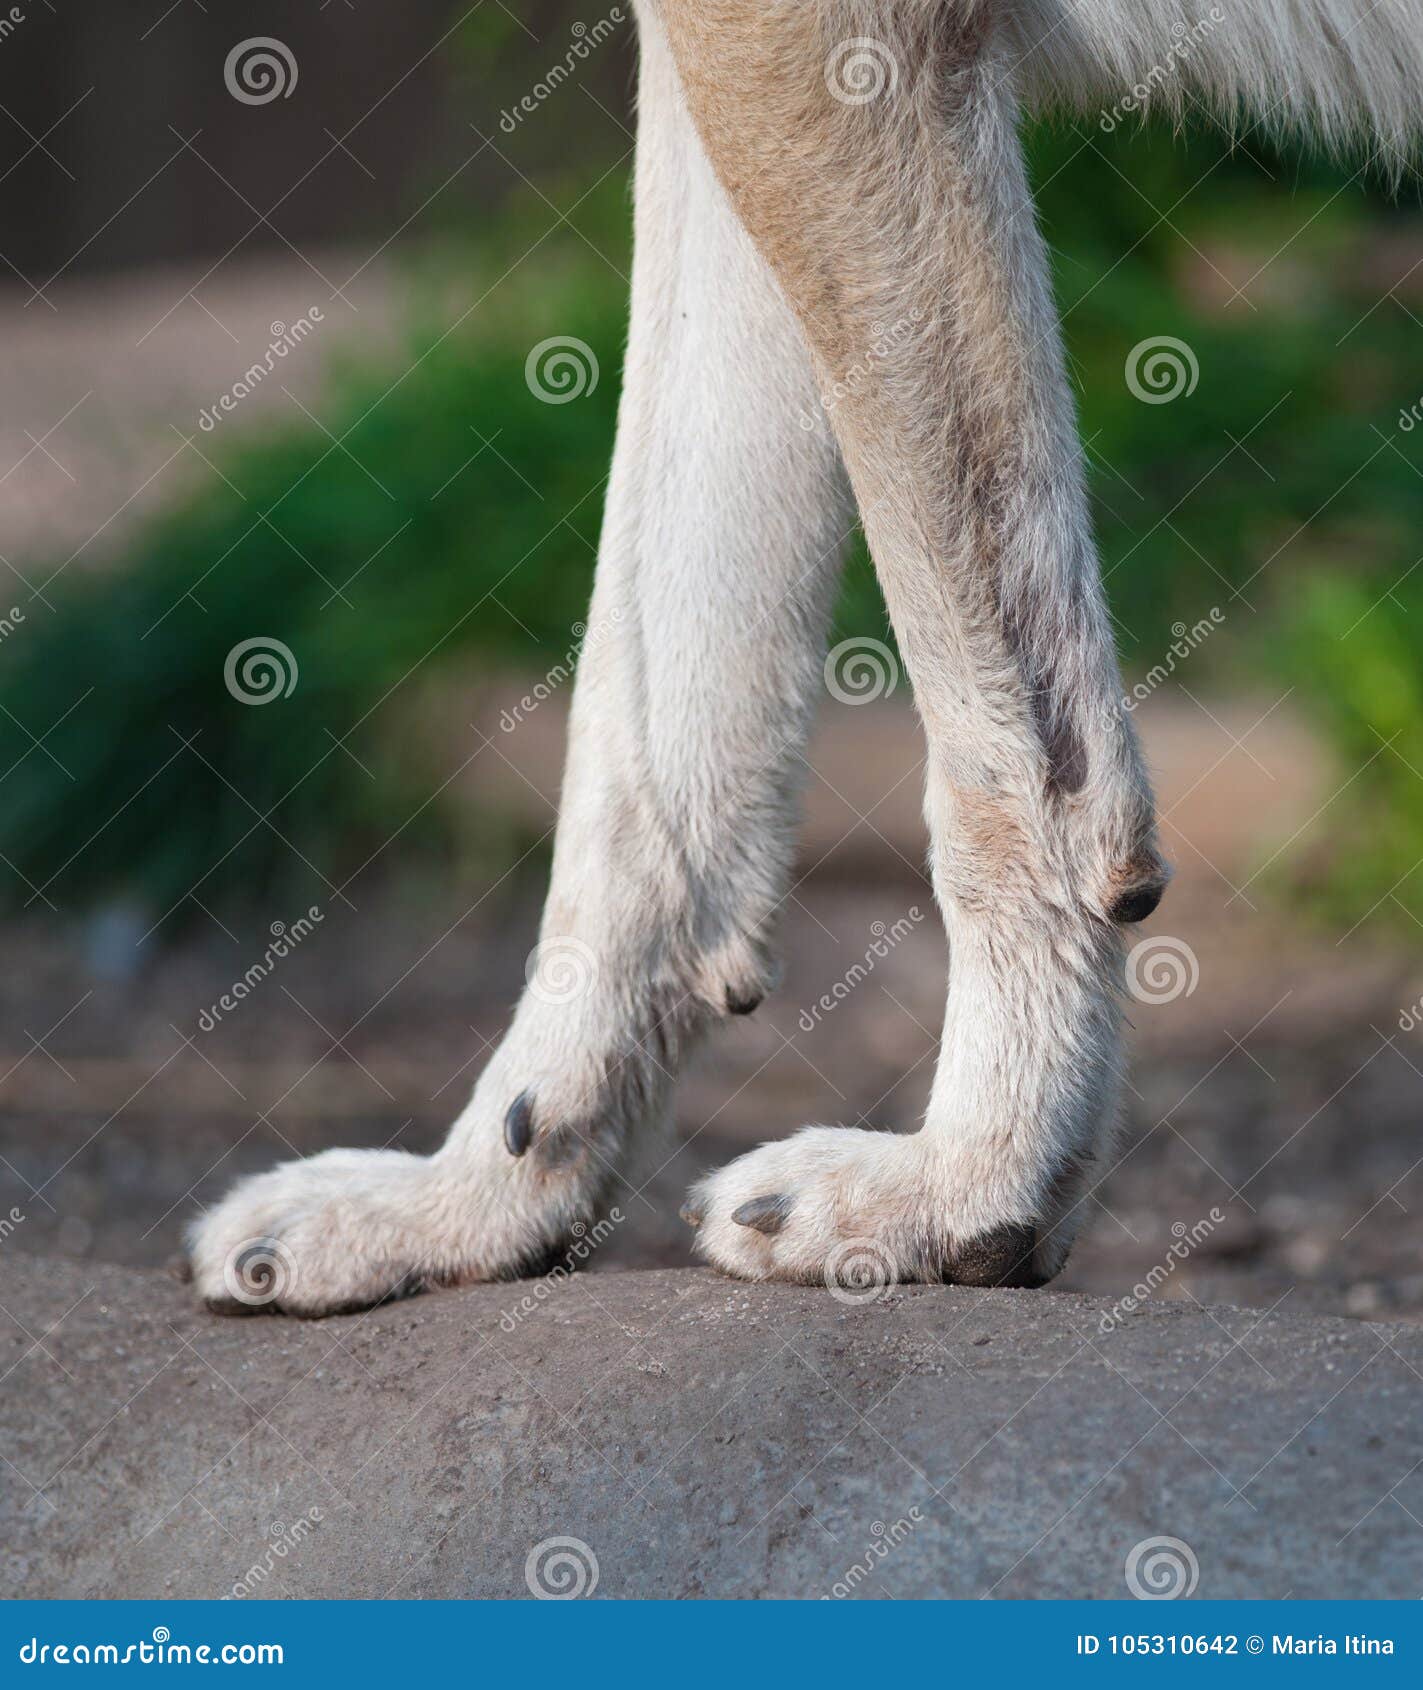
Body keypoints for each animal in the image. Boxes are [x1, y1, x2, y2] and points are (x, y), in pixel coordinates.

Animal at [185, 1, 1423, 1314]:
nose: (973, 1186)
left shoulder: (823, 52)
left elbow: (1011, 769)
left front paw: (975, 1190)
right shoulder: (721, 65)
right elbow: (634, 751)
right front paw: (477, 1200)